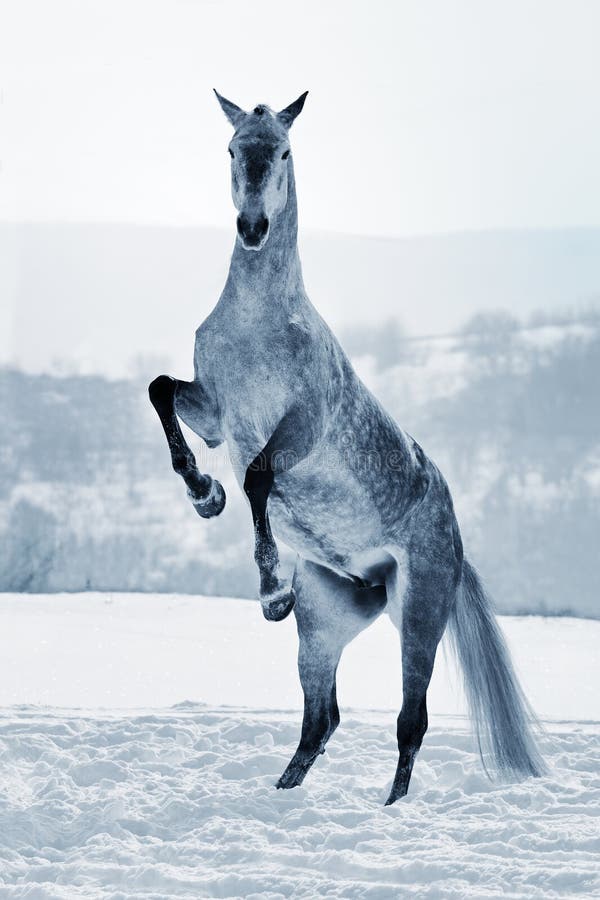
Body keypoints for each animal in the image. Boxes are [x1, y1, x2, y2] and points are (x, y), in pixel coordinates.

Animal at [149, 91, 545, 804]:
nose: (253, 227)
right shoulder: (217, 412)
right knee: (321, 719)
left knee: (410, 722)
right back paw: (282, 795)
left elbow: (258, 476)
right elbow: (162, 391)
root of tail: (455, 541)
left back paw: (391, 809)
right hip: (326, 620)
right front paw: (203, 493)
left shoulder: (304, 425)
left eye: (283, 151)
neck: (259, 327)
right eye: (231, 149)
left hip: (418, 615)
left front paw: (270, 590)